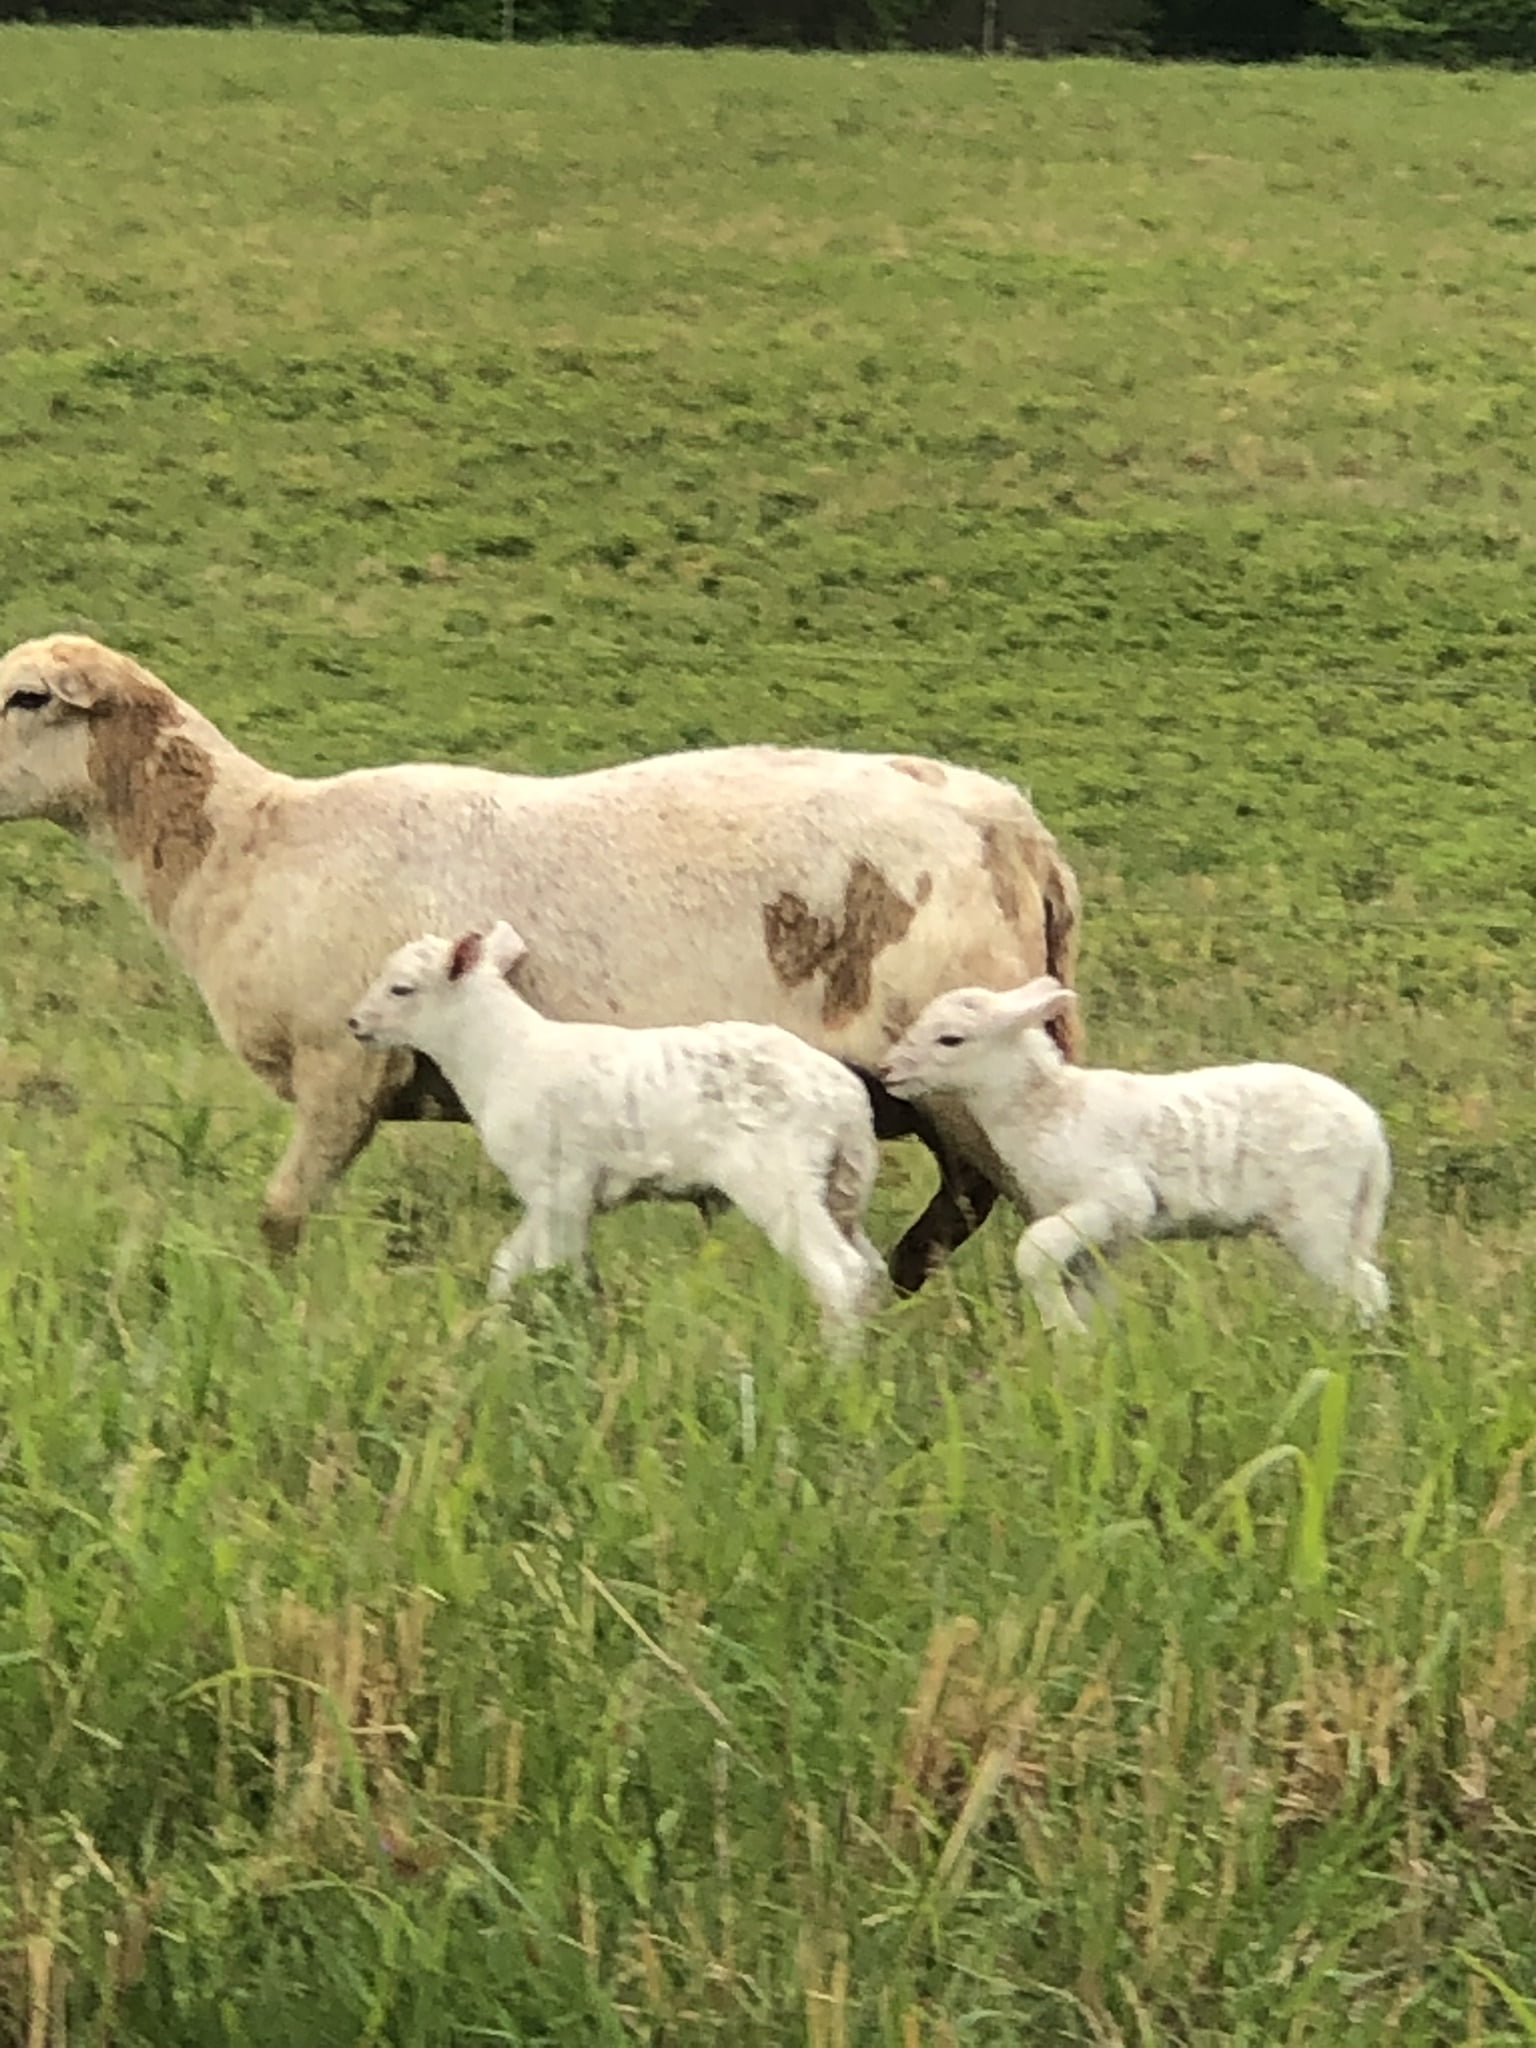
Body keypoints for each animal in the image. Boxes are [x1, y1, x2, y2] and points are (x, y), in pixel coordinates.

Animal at [0, 633, 1081, 1289]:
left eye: (26, 696)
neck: (246, 844)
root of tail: (1013, 825)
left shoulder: (344, 1065)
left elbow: (281, 1216)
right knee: (969, 1200)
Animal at [347, 921, 887, 1342]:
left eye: (401, 988)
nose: (353, 1023)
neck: (502, 1054)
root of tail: (847, 1098)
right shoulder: (548, 1193)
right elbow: (508, 1263)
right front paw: (494, 1336)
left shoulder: (559, 1184)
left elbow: (552, 1267)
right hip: (843, 1182)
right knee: (872, 1270)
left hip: (778, 1178)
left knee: (839, 1274)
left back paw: (834, 1371)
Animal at [879, 976, 1391, 1333]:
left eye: (951, 1039)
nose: (885, 1071)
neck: (1047, 1108)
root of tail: (1373, 1133)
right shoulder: (1105, 1234)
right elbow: (1091, 1294)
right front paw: (1090, 1354)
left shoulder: (1118, 1198)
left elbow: (1032, 1253)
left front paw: (1064, 1331)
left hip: (1317, 1213)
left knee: (1361, 1286)